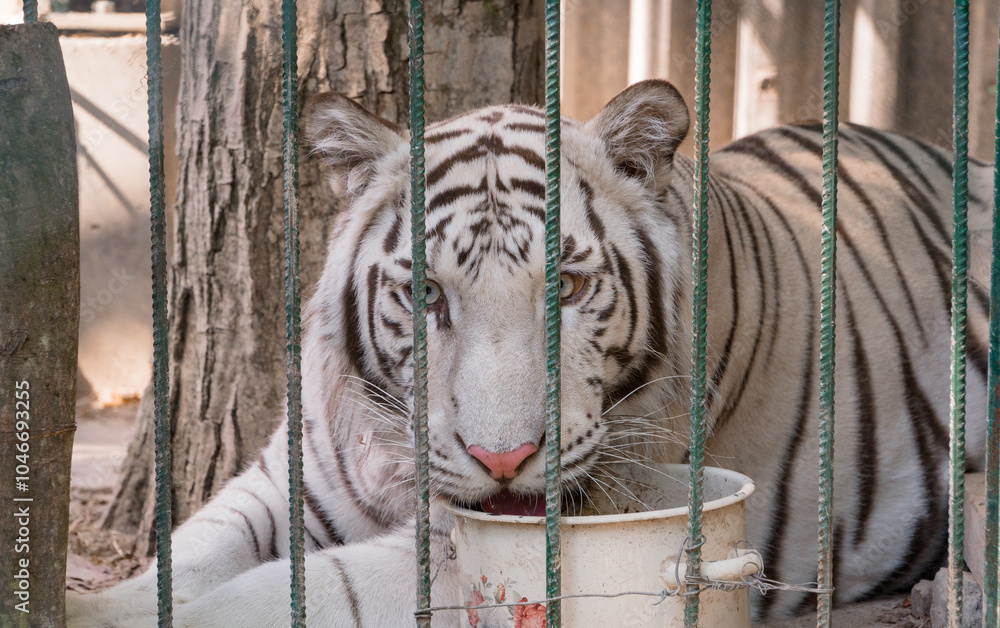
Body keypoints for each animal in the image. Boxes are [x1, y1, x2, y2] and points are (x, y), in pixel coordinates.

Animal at [66, 79, 994, 626]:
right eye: (427, 295)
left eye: (570, 290)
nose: (504, 459)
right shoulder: (285, 480)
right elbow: (190, 554)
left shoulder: (471, 548)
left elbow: (278, 593)